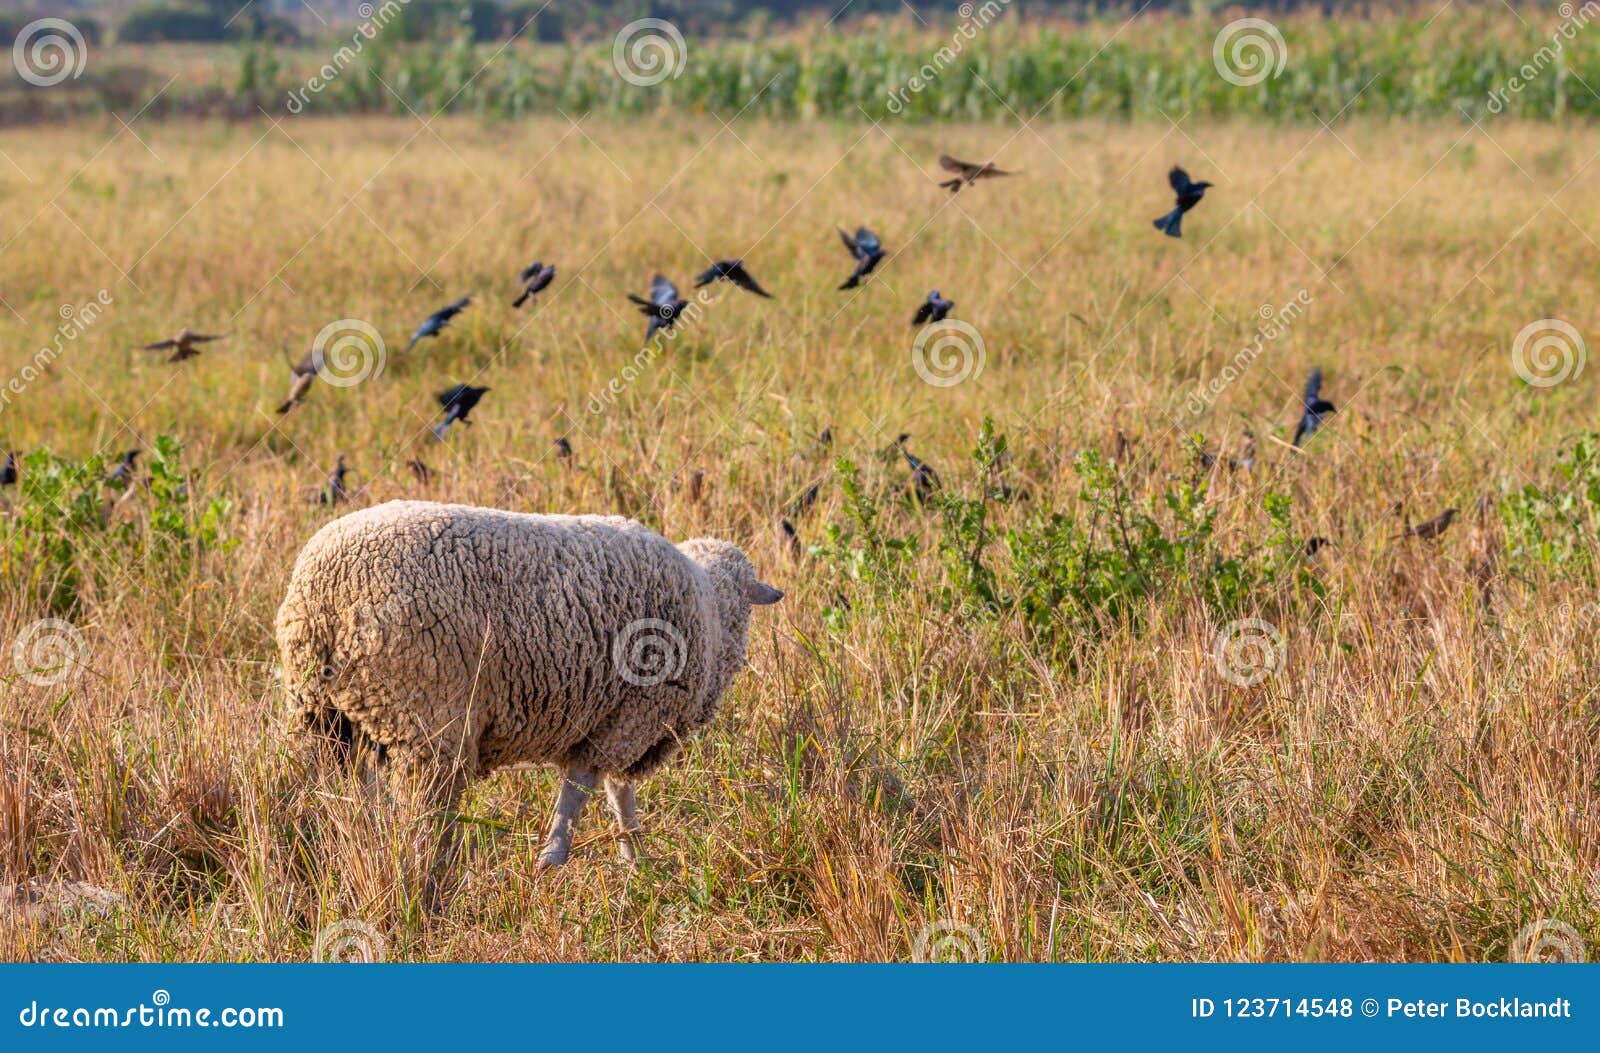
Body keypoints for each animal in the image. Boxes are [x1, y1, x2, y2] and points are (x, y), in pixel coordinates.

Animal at [273, 500, 783, 867]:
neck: (711, 607)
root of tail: (324, 593)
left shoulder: (620, 722)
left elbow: (615, 794)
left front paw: (634, 857)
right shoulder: (631, 716)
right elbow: (587, 787)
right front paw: (559, 855)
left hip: (322, 713)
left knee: (338, 790)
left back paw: (347, 841)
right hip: (428, 716)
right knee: (422, 808)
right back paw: (430, 866)